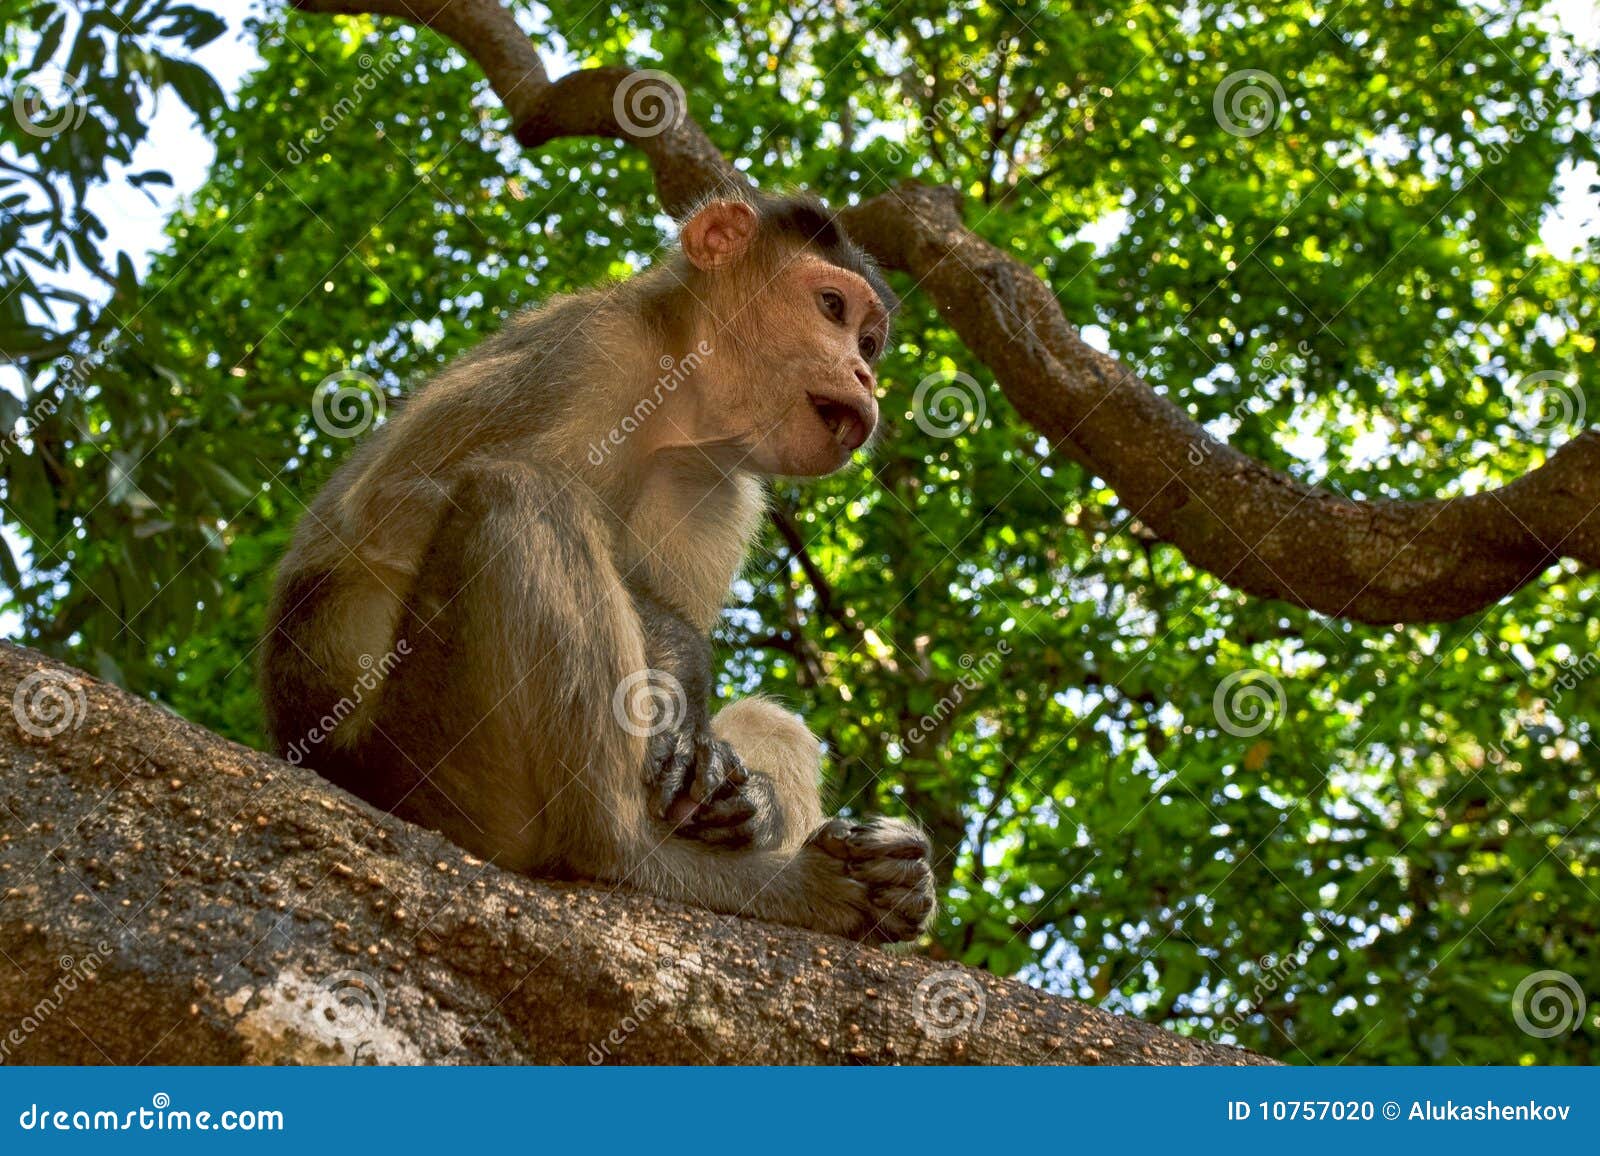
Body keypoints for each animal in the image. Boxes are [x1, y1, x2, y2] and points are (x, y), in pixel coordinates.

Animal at [260, 194, 935, 945]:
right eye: (830, 306)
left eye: (869, 343)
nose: (866, 377)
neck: (674, 405)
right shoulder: (587, 352)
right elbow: (388, 510)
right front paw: (684, 679)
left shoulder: (719, 487)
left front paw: (750, 795)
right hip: (417, 767)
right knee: (523, 493)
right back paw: (648, 858)